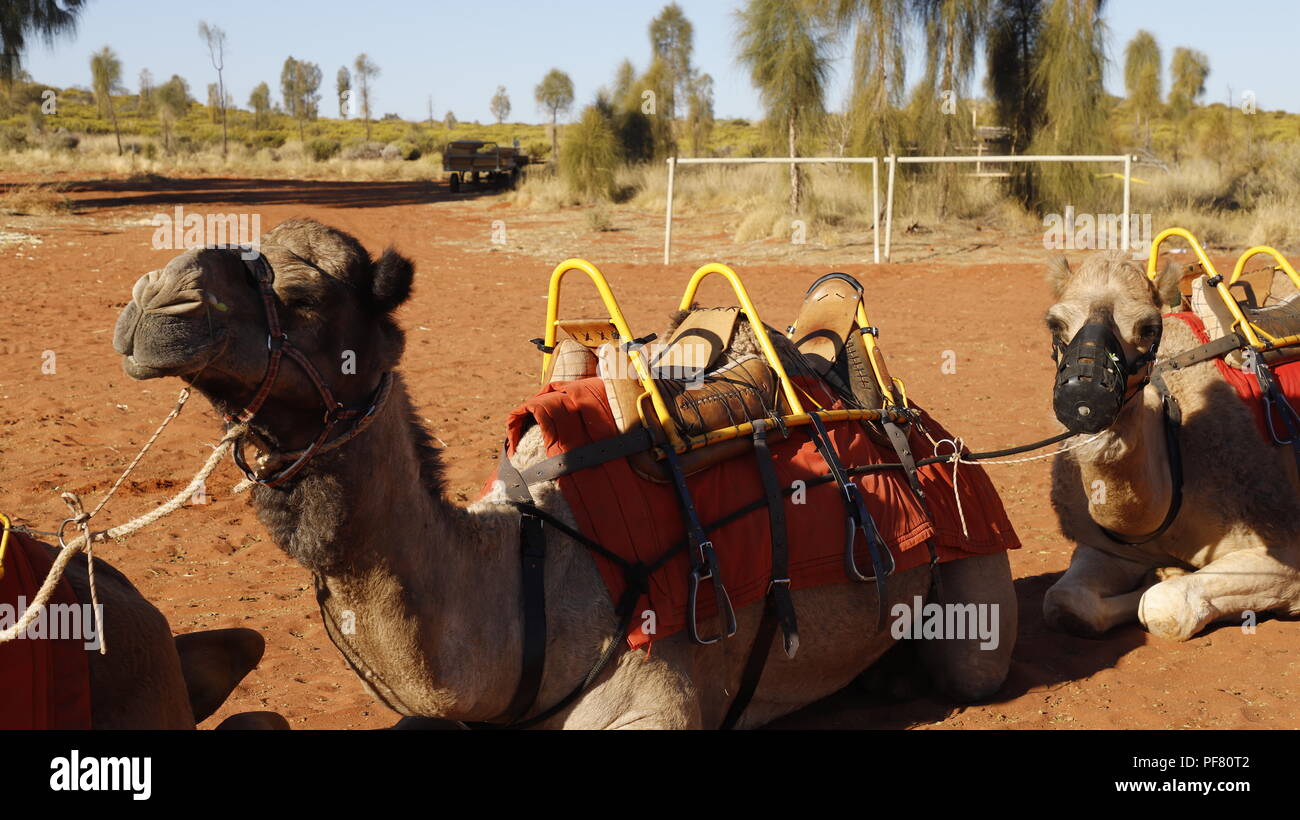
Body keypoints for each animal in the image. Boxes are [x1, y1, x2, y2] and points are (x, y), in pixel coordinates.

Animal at [112, 217, 1016, 728]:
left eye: (302, 295)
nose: (154, 300)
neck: (523, 579)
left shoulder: (655, 698)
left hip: (975, 550)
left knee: (972, 661)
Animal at [1043, 251, 1300, 641]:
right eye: (1054, 324)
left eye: (1149, 327)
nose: (1084, 392)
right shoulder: (1110, 547)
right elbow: (1066, 603)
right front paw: (1164, 571)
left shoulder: (1283, 545)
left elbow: (1162, 605)